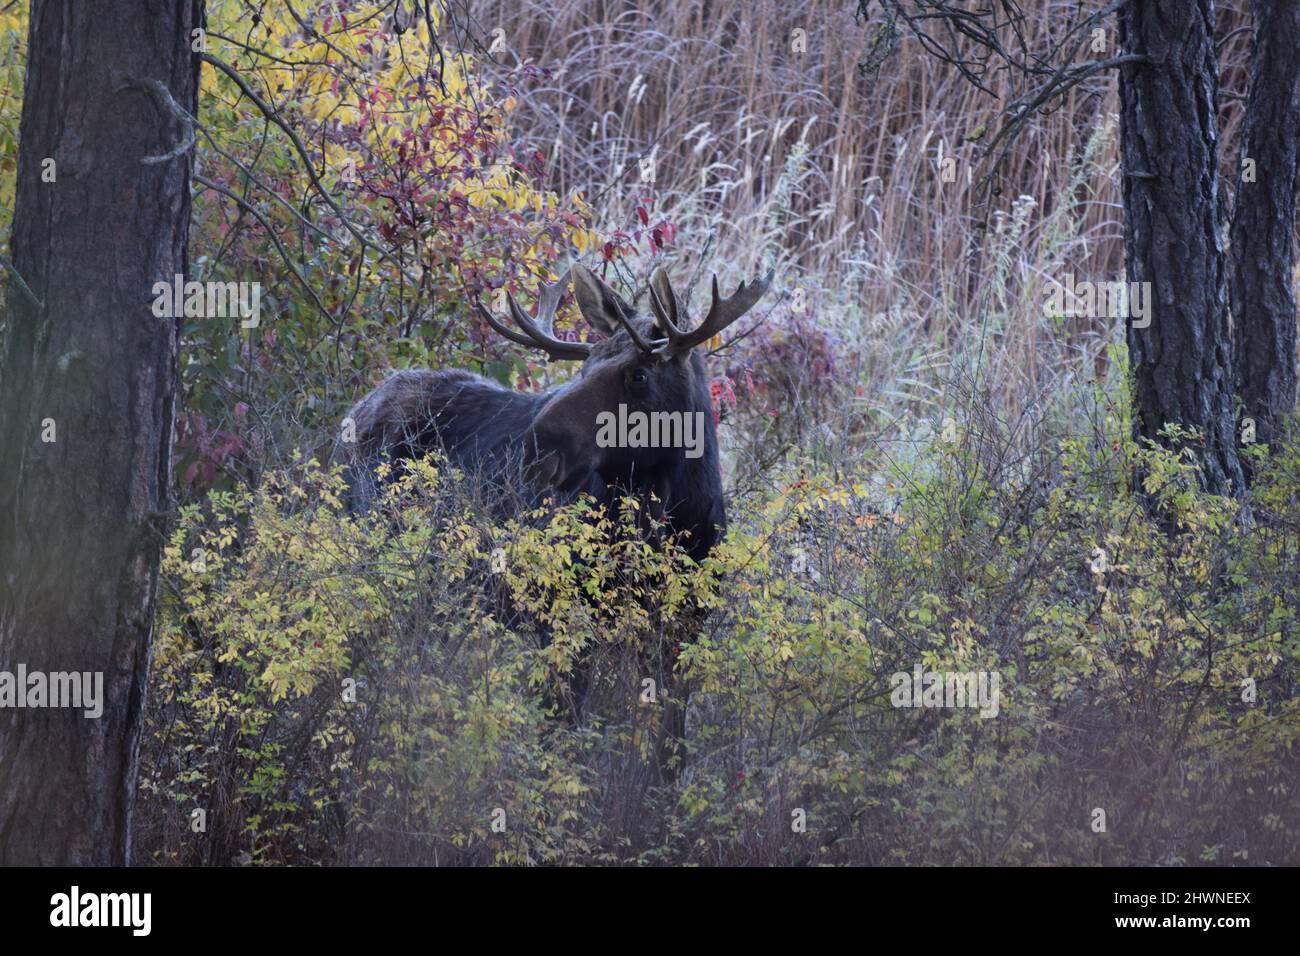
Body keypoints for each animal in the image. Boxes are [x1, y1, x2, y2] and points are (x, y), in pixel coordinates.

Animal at [335, 262, 772, 774]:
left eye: (638, 375)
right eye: (584, 366)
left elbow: (668, 753)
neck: (679, 518)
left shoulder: (683, 632)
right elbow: (561, 738)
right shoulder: (560, 622)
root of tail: (352, 414)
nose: (537, 444)